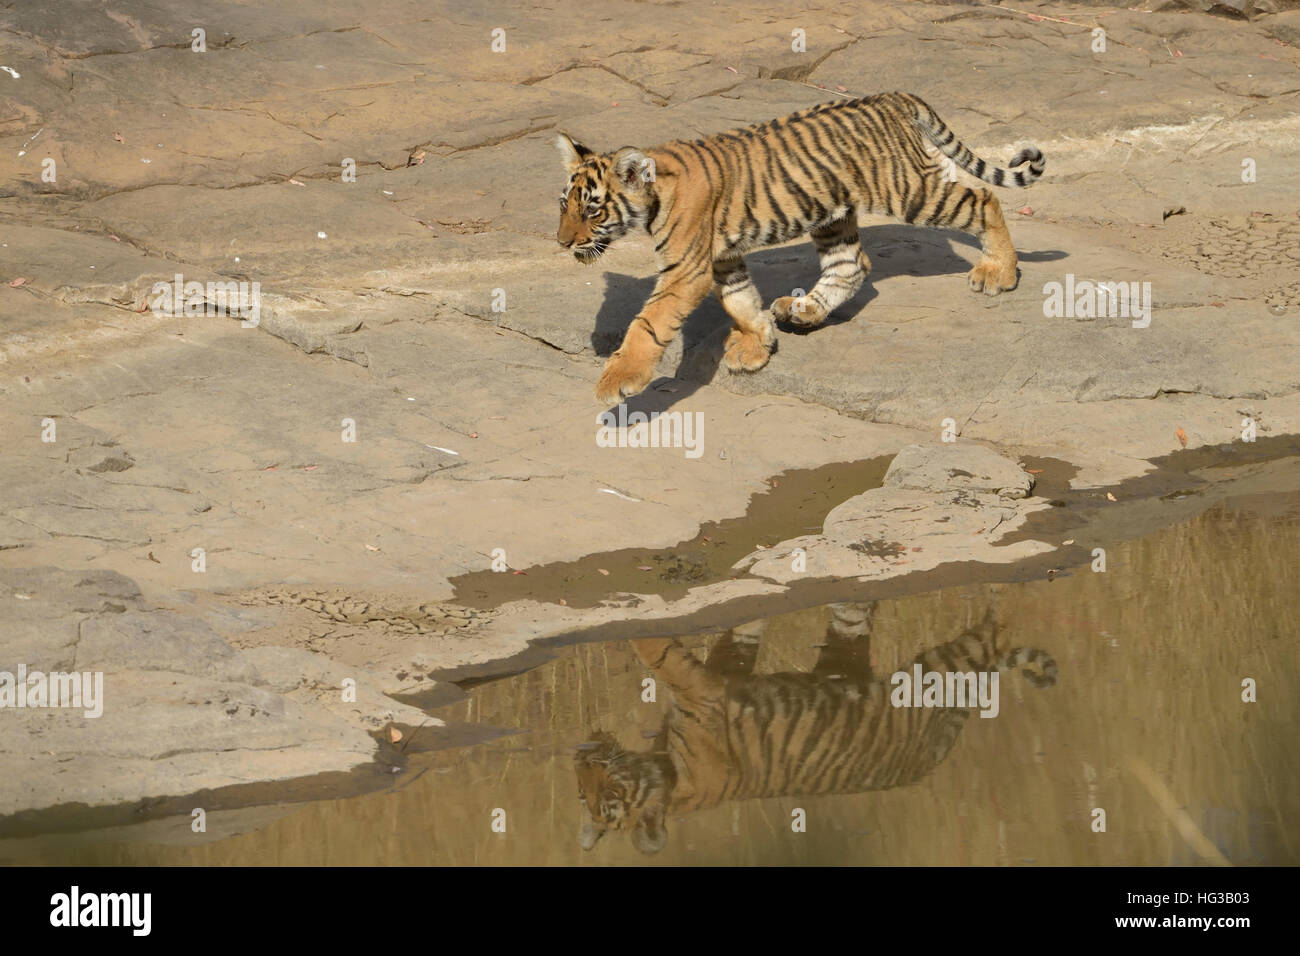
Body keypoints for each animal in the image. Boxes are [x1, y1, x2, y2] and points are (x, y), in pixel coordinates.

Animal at [554, 91, 1046, 404]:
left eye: (593, 209)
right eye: (565, 204)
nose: (562, 242)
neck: (654, 199)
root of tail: (894, 98)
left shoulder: (685, 270)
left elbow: (648, 324)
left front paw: (618, 380)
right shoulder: (722, 258)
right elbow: (738, 300)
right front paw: (756, 345)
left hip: (909, 191)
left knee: (984, 200)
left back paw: (1000, 273)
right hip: (833, 215)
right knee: (852, 264)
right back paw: (804, 310)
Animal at [576, 602, 1056, 855]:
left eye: (608, 791)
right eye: (585, 792)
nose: (581, 754)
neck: (669, 780)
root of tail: (933, 756)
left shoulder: (703, 685)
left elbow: (657, 649)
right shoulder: (716, 679)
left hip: (943, 665)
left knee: (993, 632)